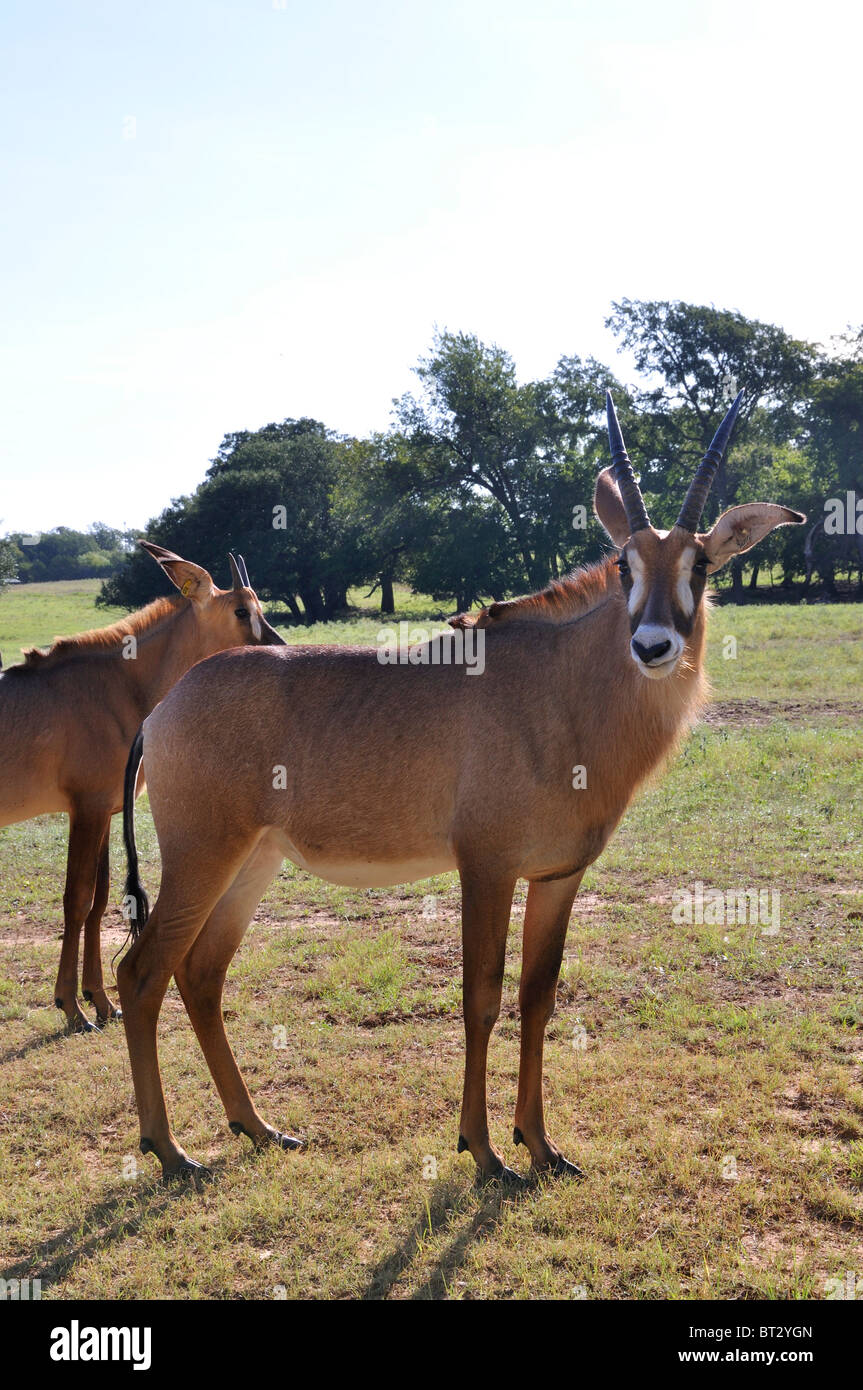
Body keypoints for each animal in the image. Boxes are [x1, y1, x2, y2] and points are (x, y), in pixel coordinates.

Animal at [0, 543, 284, 1032]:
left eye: (261, 607)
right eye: (241, 610)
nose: (280, 648)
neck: (121, 685)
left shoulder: (105, 811)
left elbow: (100, 899)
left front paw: (100, 1000)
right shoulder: (87, 810)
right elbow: (76, 898)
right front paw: (71, 1007)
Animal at [118, 392, 804, 1185]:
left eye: (700, 562)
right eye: (624, 563)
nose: (653, 645)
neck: (560, 691)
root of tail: (161, 710)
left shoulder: (557, 875)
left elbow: (537, 998)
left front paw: (542, 1146)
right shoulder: (486, 866)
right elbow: (480, 998)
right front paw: (484, 1150)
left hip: (252, 862)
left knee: (200, 974)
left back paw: (258, 1128)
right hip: (202, 856)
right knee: (140, 974)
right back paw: (170, 1151)